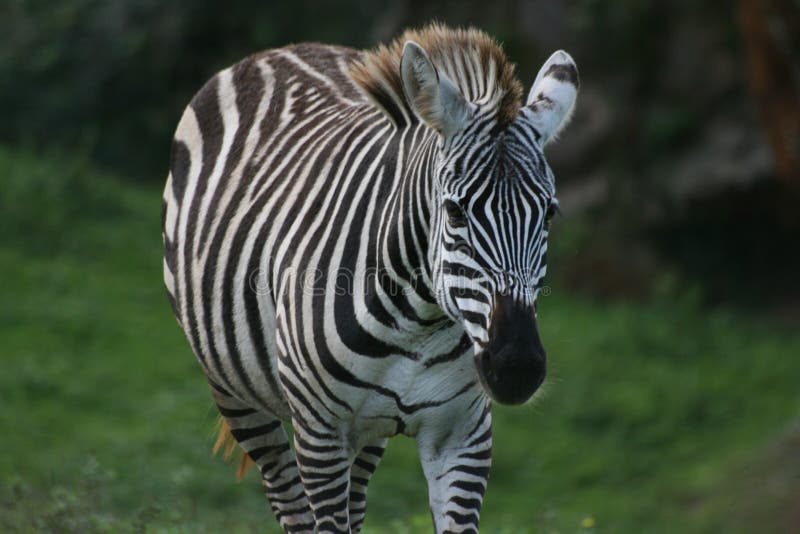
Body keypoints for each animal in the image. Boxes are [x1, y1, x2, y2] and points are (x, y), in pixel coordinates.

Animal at [162, 24, 578, 533]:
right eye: (455, 211)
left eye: (550, 213)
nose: (517, 367)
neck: (420, 325)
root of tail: (284, 49)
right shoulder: (321, 435)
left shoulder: (462, 433)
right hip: (235, 393)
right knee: (289, 503)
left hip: (369, 432)